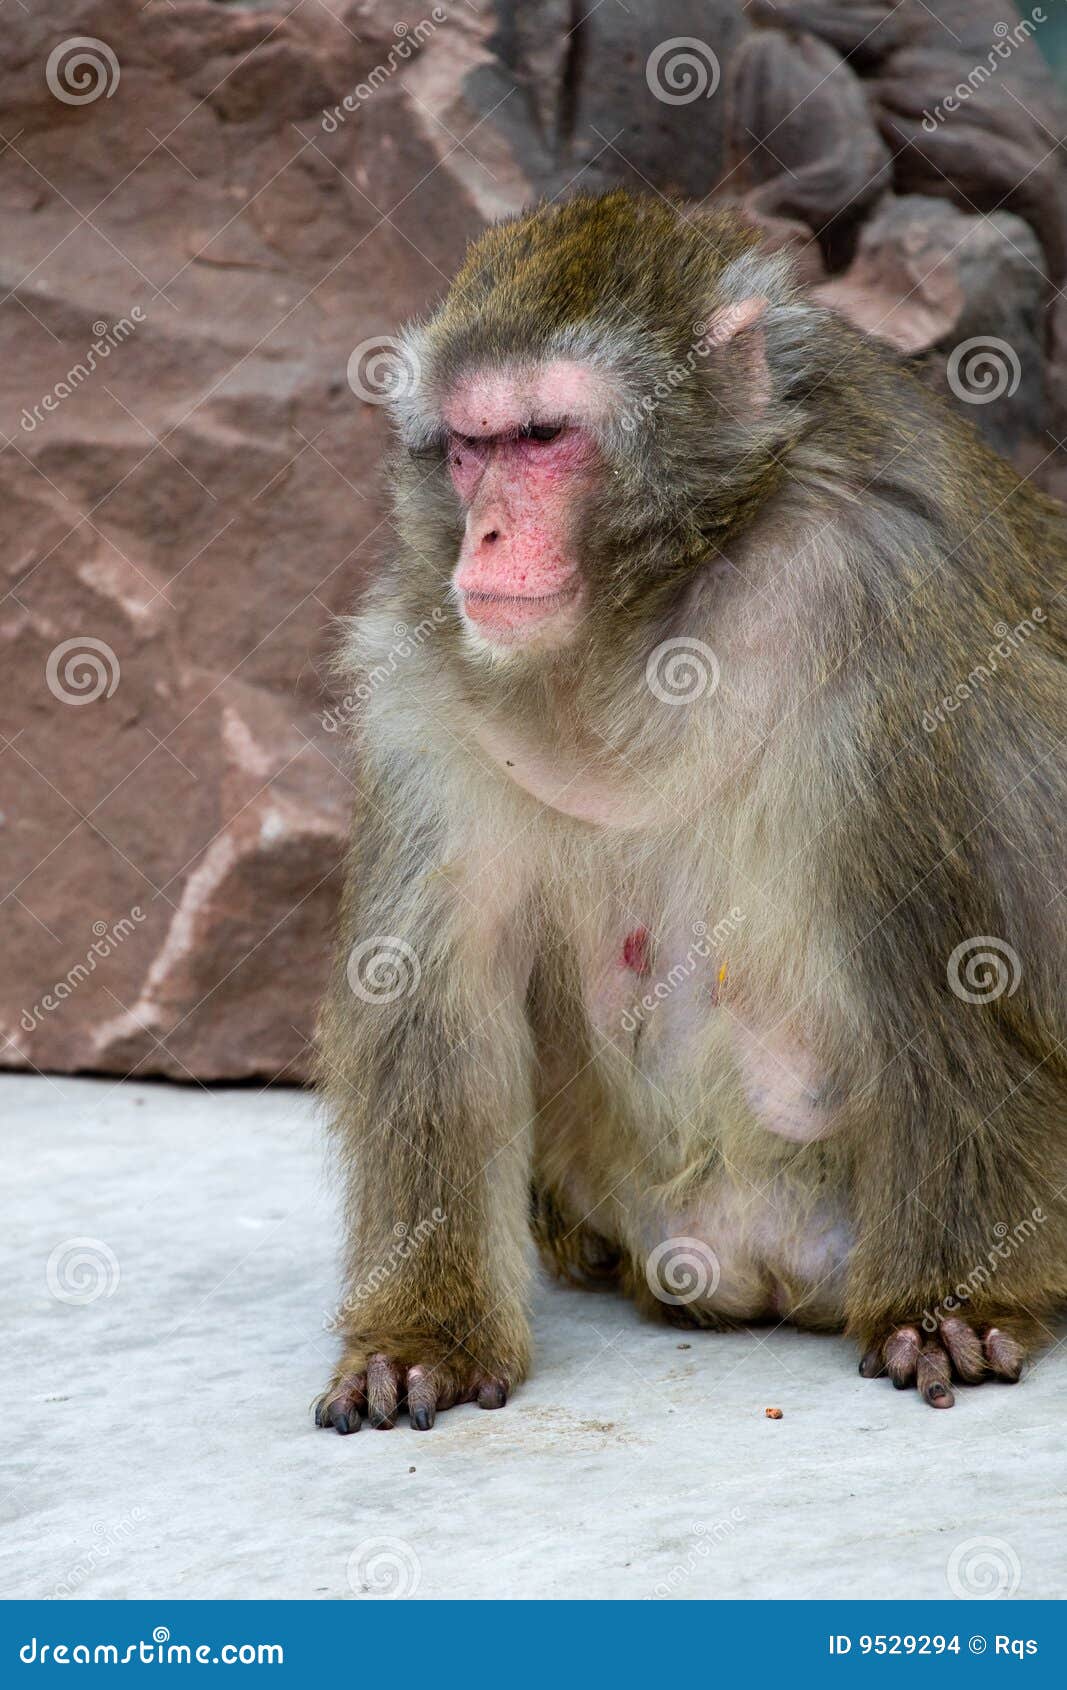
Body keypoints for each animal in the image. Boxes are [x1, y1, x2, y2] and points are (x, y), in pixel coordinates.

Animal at [314, 188, 1067, 1433]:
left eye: (542, 438)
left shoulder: (904, 595)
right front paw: (423, 1332)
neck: (660, 609)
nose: (483, 537)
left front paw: (947, 1305)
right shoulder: (419, 669)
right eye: (470, 447)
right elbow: (436, 1011)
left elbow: (962, 968)